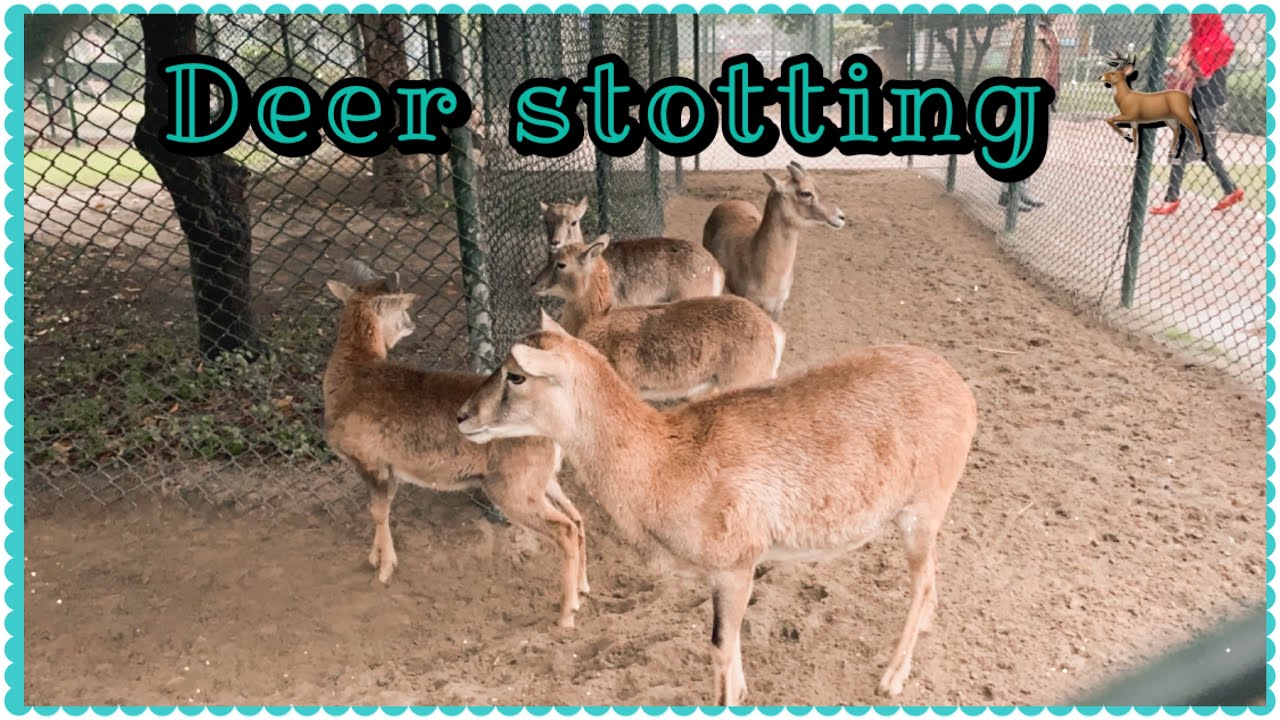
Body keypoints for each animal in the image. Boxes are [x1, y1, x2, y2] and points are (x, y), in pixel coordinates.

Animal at [323, 260, 589, 628]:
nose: (412, 323)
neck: (352, 380)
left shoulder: (372, 462)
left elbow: (377, 511)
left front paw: (384, 569)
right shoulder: (390, 468)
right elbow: (381, 509)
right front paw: (375, 558)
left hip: (513, 488)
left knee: (564, 530)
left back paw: (565, 615)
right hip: (543, 480)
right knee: (577, 519)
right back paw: (582, 591)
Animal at [456, 313, 978, 704]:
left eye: (516, 375)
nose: (462, 416)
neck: (664, 460)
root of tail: (960, 388)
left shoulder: (734, 565)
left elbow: (719, 648)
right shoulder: (729, 573)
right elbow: (732, 642)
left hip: (921, 511)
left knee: (922, 584)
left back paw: (891, 679)